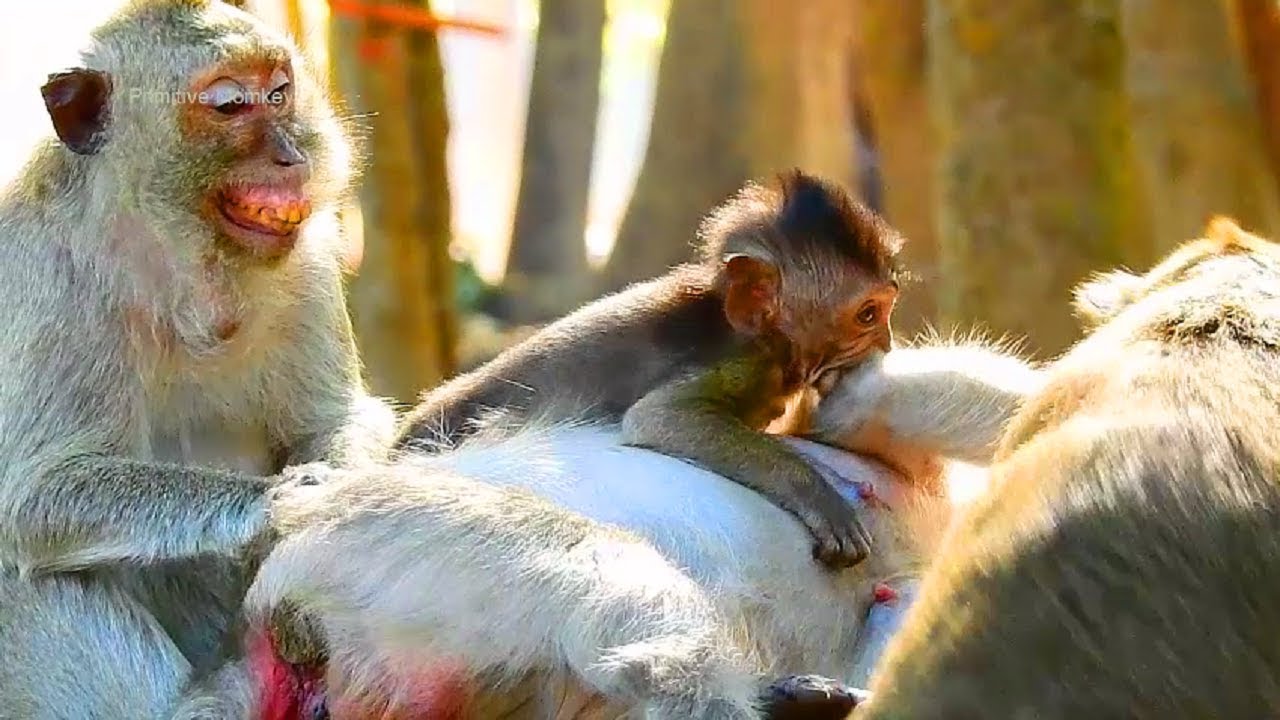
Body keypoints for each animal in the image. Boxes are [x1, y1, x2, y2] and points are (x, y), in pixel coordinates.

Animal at [0, 1, 396, 717]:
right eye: (230, 105)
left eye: (279, 93)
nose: (292, 155)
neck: (177, 267)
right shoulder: (52, 281)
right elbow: (37, 496)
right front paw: (282, 505)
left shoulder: (311, 259)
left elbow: (335, 419)